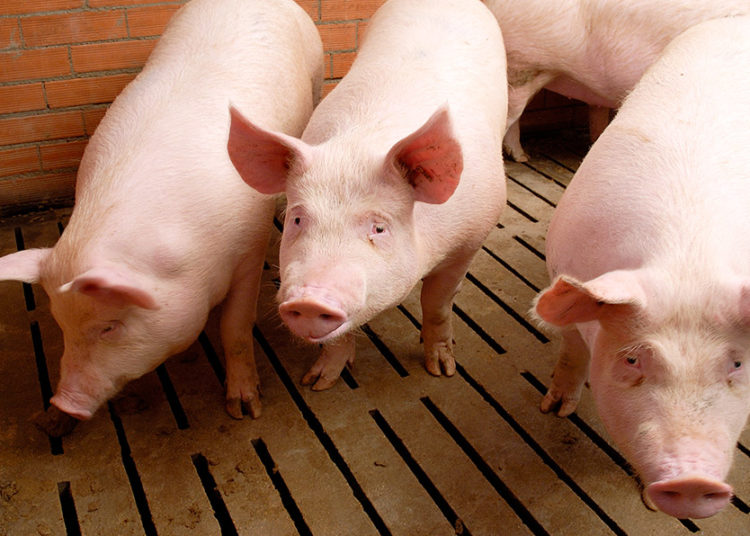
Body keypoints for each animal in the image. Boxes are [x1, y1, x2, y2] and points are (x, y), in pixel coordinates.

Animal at [0, 0, 324, 434]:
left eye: (110, 326)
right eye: (61, 324)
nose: (64, 401)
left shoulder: (250, 248)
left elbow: (234, 327)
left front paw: (244, 410)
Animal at [227, 0, 507, 389]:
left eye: (379, 228)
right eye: (297, 218)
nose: (310, 300)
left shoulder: (471, 238)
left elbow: (437, 302)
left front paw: (441, 369)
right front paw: (318, 383)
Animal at [533, 16, 750, 519]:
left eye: (736, 363)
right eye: (632, 358)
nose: (692, 481)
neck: (687, 261)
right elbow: (571, 348)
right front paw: (554, 409)